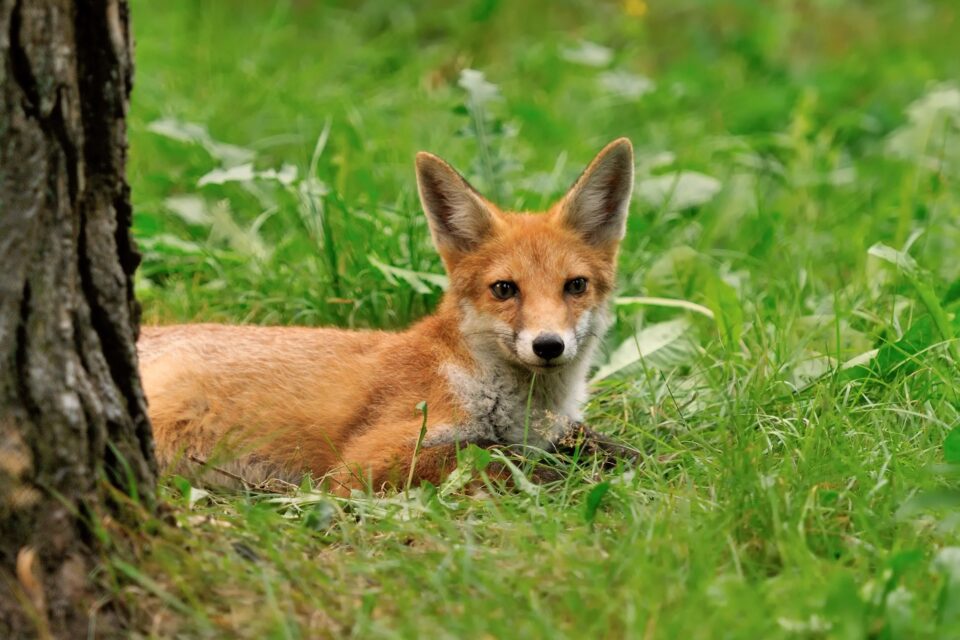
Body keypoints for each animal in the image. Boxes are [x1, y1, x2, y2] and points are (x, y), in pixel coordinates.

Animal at [138, 137, 634, 494]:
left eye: (575, 285)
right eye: (504, 289)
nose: (548, 345)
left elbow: (605, 444)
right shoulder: (366, 462)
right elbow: (495, 454)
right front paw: (570, 480)